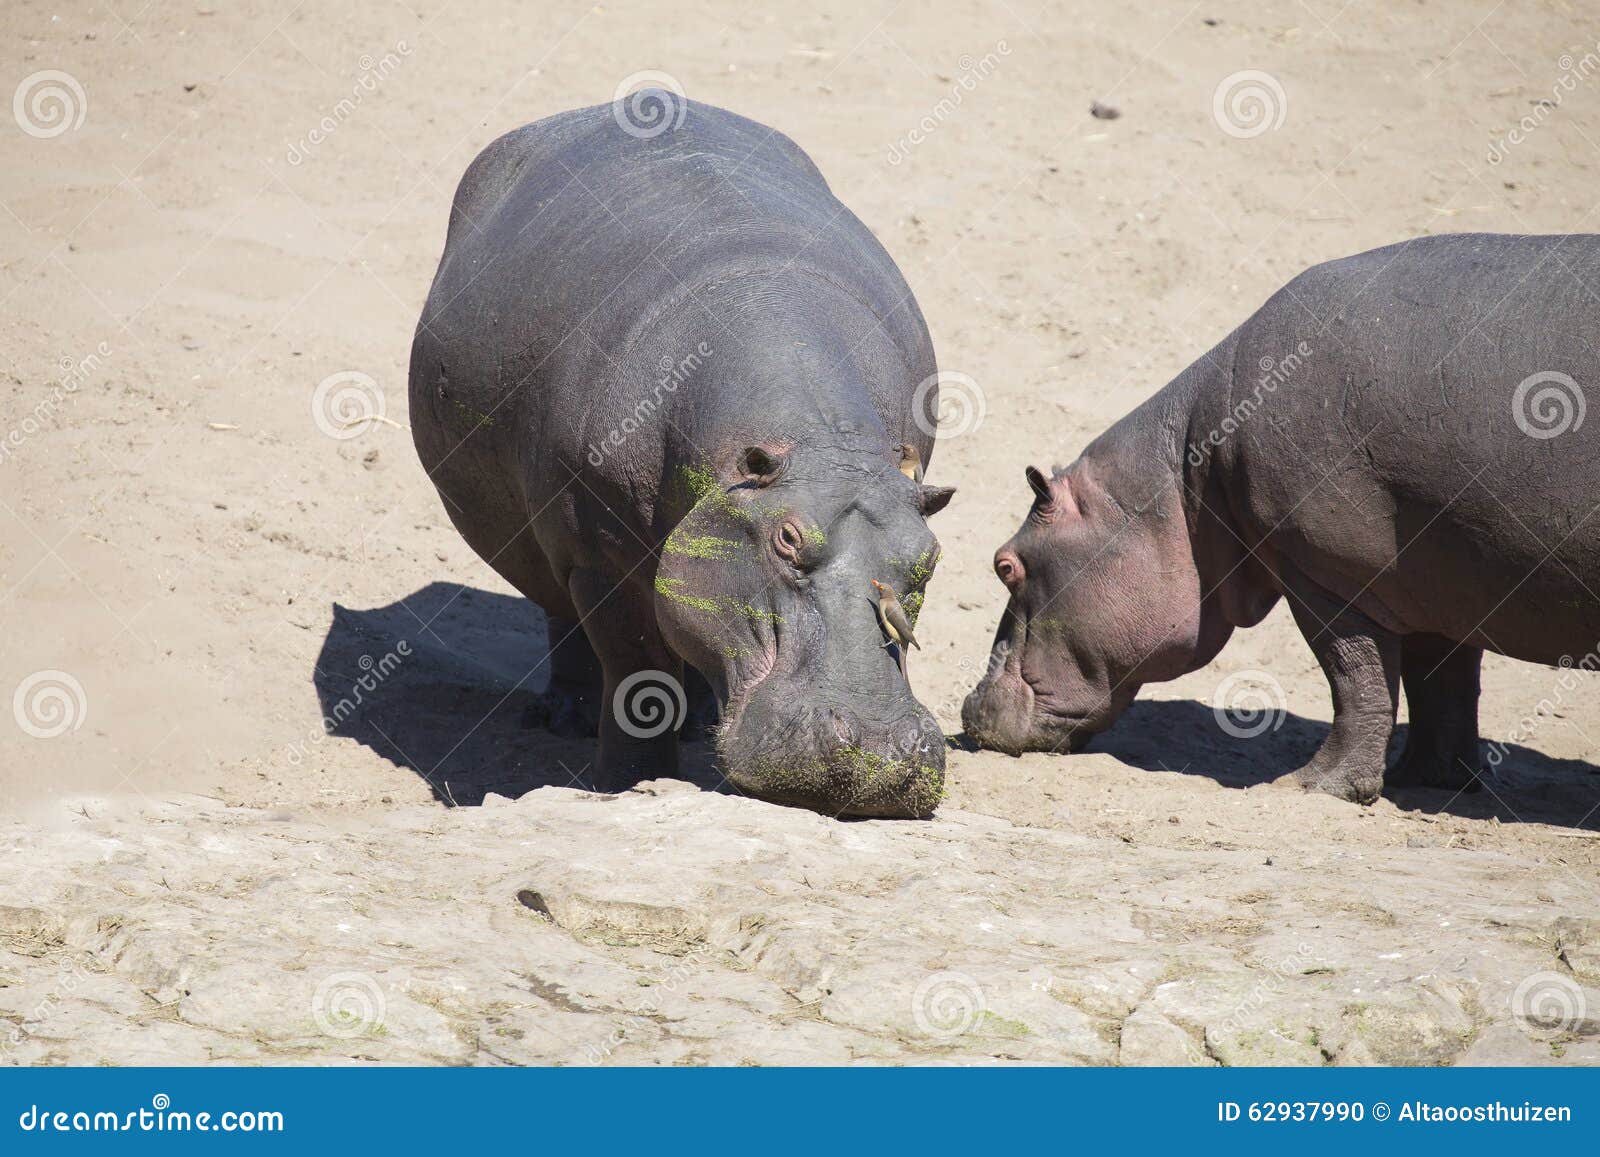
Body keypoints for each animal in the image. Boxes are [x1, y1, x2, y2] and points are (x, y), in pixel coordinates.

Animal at [409, 96, 955, 818]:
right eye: (785, 538)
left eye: (930, 556)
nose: (879, 753)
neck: (817, 440)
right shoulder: (596, 556)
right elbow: (634, 667)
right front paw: (628, 784)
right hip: (557, 542)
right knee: (568, 623)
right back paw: (568, 717)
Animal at [963, 232, 1600, 804]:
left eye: (1005, 566)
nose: (969, 704)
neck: (1183, 474)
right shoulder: (1438, 580)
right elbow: (1442, 682)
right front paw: (1430, 779)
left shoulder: (1328, 573)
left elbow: (1355, 676)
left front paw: (1313, 785)